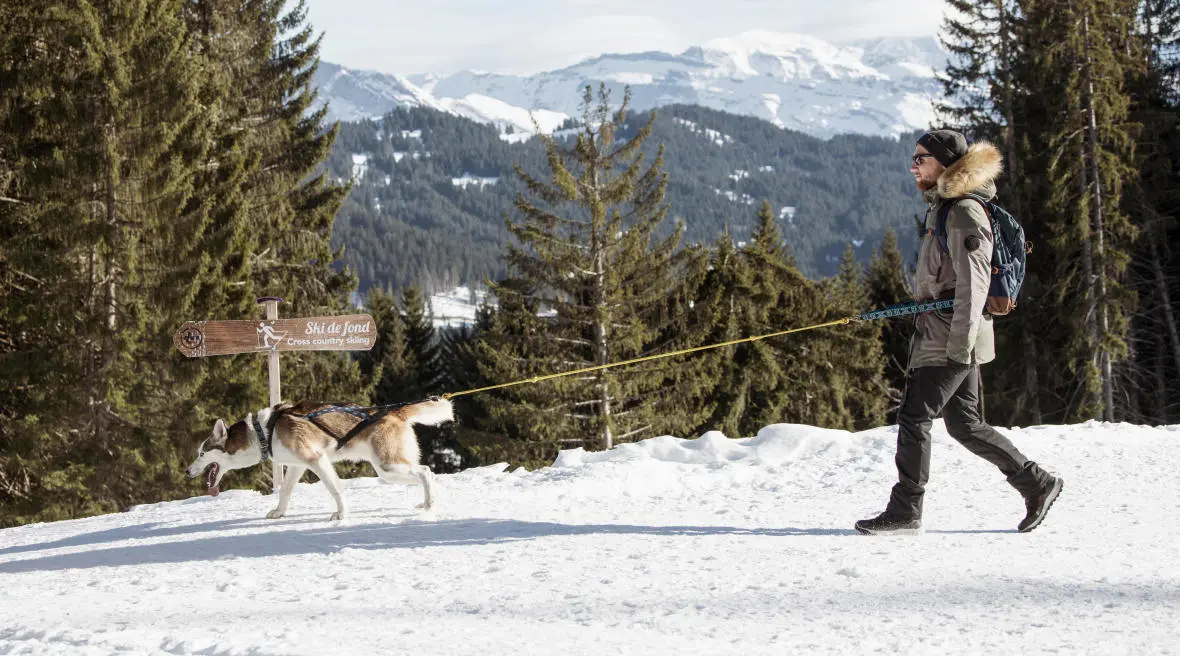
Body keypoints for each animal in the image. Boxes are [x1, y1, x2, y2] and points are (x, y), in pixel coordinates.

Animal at [186, 396, 453, 519]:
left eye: (201, 453)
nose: (187, 471)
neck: (264, 432)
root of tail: (394, 412)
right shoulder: (296, 466)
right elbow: (285, 492)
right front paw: (279, 512)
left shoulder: (317, 460)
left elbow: (336, 490)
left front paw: (341, 515)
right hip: (390, 469)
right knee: (425, 472)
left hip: (388, 467)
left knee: (426, 472)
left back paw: (429, 505)